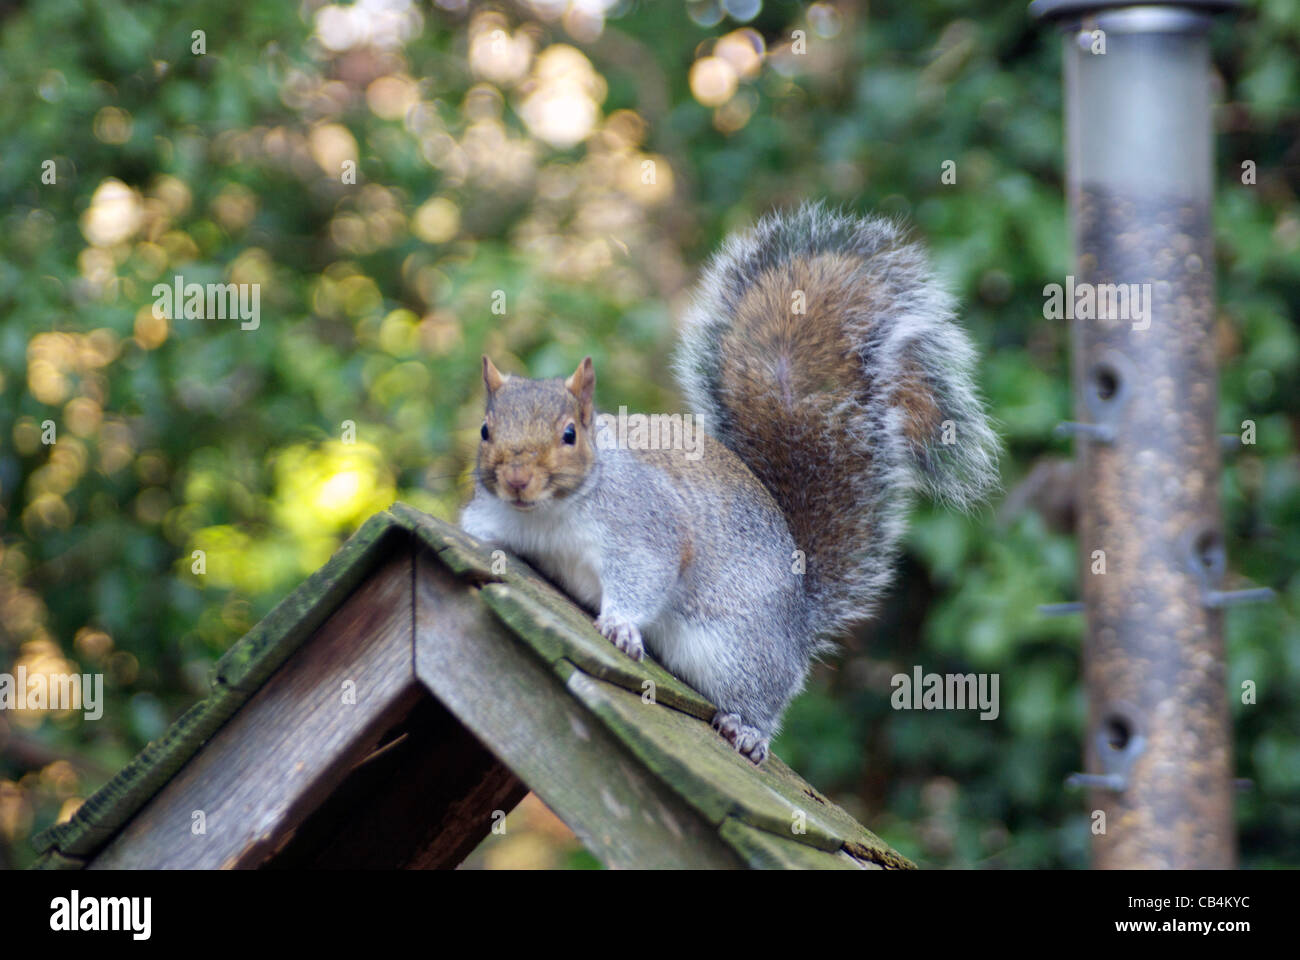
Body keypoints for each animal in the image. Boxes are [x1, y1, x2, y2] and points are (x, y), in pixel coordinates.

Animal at [460, 202, 999, 764]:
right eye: (485, 430)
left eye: (569, 434)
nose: (517, 480)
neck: (548, 514)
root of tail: (798, 624)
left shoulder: (645, 524)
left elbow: (646, 572)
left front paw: (621, 626)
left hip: (740, 652)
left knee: (763, 698)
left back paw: (748, 730)